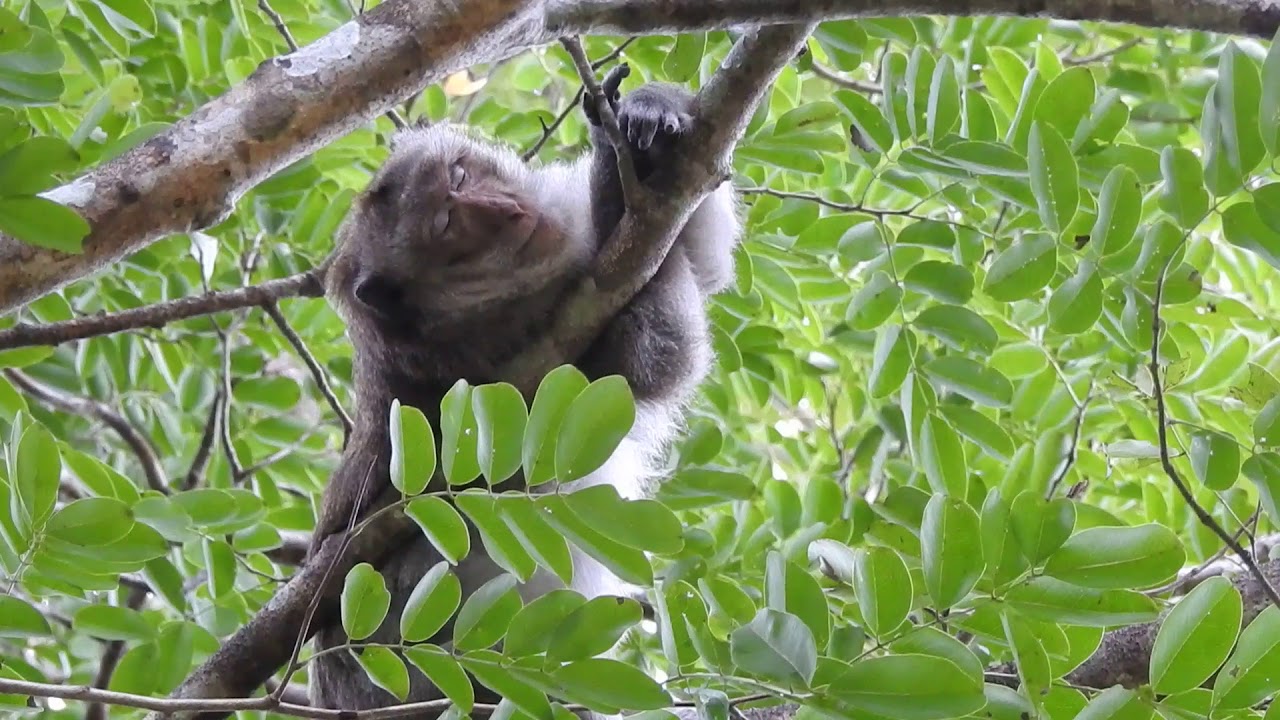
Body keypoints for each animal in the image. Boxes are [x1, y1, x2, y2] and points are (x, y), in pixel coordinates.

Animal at [306, 71, 742, 712]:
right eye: (447, 227)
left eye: (462, 176)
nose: (507, 209)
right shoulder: (496, 361)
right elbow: (654, 361)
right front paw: (612, 177)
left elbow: (700, 253)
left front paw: (645, 121)